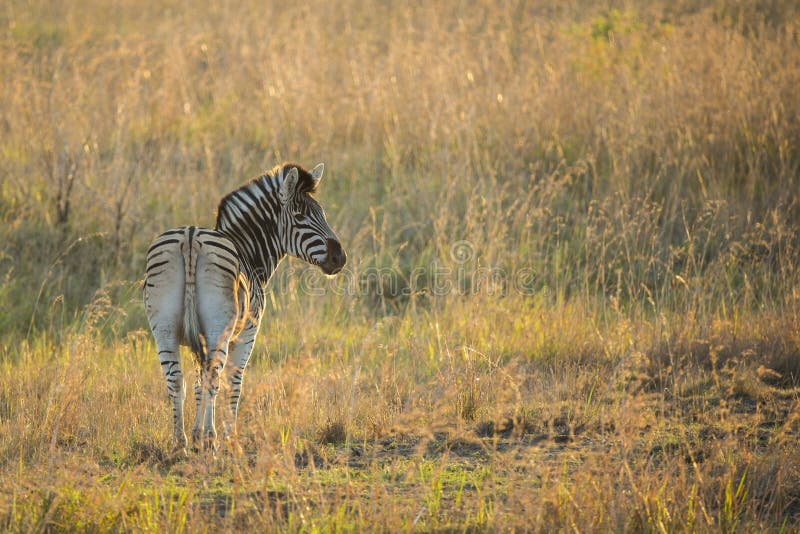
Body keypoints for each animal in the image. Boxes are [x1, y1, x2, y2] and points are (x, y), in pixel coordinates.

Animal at [143, 162, 346, 453]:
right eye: (300, 217)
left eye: (323, 215)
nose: (340, 258)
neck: (249, 253)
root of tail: (190, 237)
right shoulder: (248, 333)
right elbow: (233, 383)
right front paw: (226, 437)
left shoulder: (196, 339)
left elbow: (197, 383)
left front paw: (196, 435)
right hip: (219, 328)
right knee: (215, 378)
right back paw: (212, 438)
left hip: (164, 327)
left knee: (175, 380)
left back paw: (179, 441)